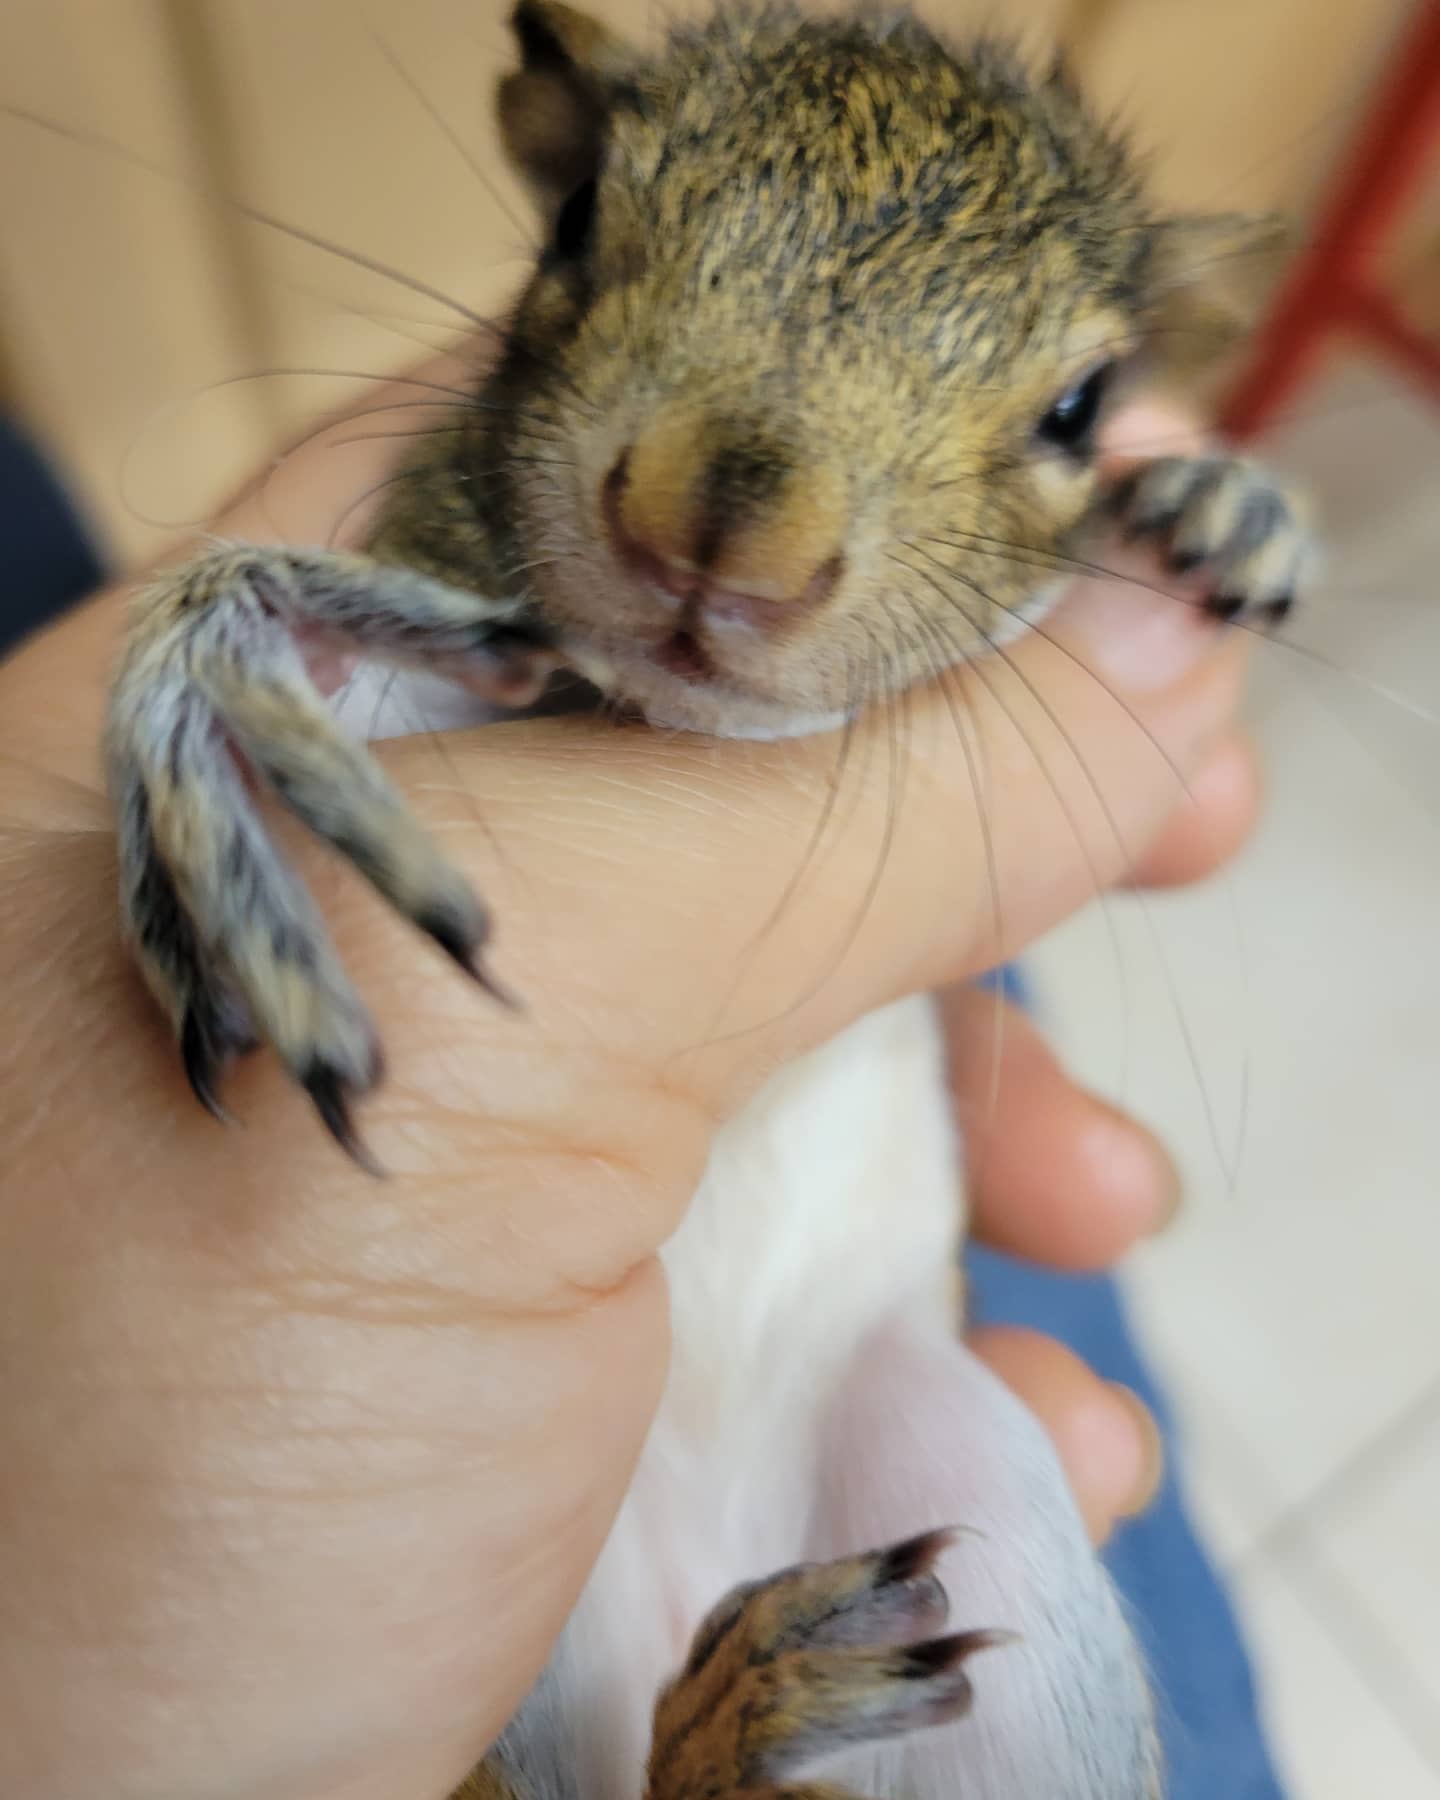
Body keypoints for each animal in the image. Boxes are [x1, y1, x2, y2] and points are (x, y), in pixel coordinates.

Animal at [103, 4, 1317, 1795]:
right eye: (571, 224)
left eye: (1089, 405)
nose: (723, 530)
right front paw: (219, 701)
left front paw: (1227, 504)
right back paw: (736, 1716)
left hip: (991, 1547)